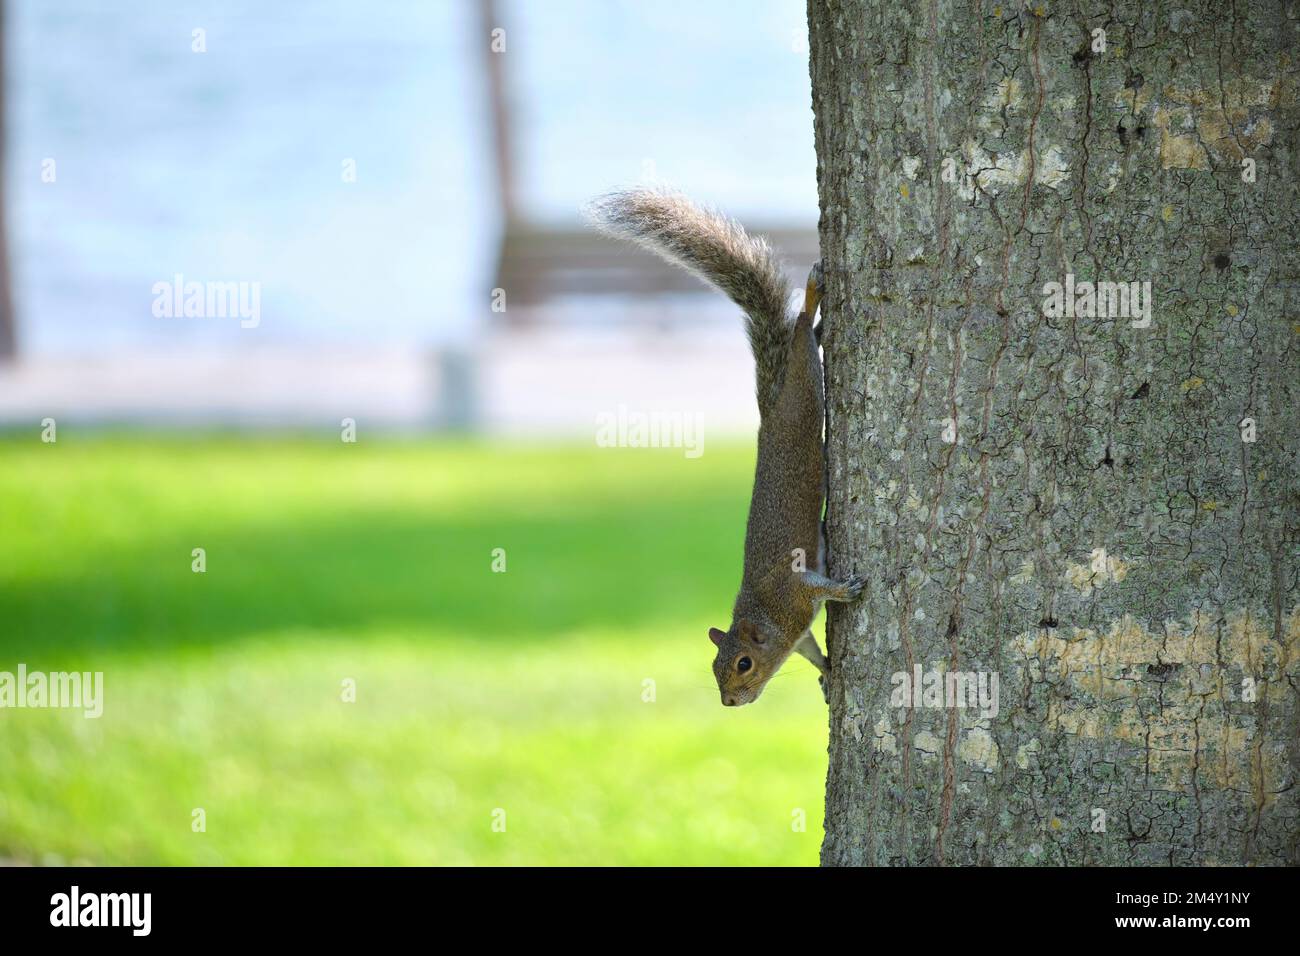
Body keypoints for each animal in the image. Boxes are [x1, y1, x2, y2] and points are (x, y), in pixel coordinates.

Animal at [587, 188, 864, 706]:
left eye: (743, 663)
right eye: (714, 666)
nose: (729, 702)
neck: (767, 618)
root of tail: (770, 410)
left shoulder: (793, 591)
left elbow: (819, 589)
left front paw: (846, 589)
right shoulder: (797, 630)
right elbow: (811, 651)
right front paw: (827, 672)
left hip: (804, 396)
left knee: (800, 332)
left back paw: (813, 295)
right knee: (804, 336)